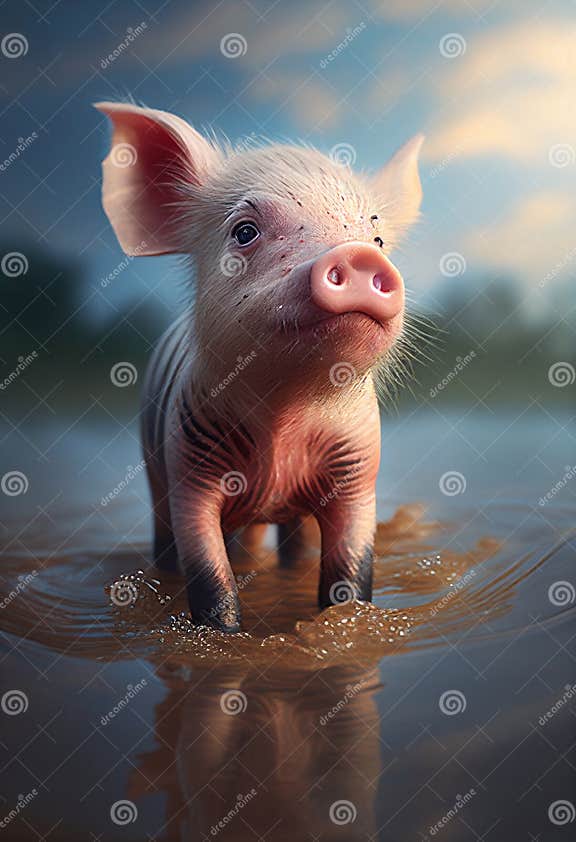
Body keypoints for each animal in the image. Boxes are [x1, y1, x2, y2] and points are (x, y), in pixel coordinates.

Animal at [95, 102, 423, 633]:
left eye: (376, 238)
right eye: (244, 232)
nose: (357, 255)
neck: (283, 424)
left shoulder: (356, 470)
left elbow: (350, 575)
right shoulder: (188, 466)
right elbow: (210, 577)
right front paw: (225, 633)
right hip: (152, 468)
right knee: (171, 543)